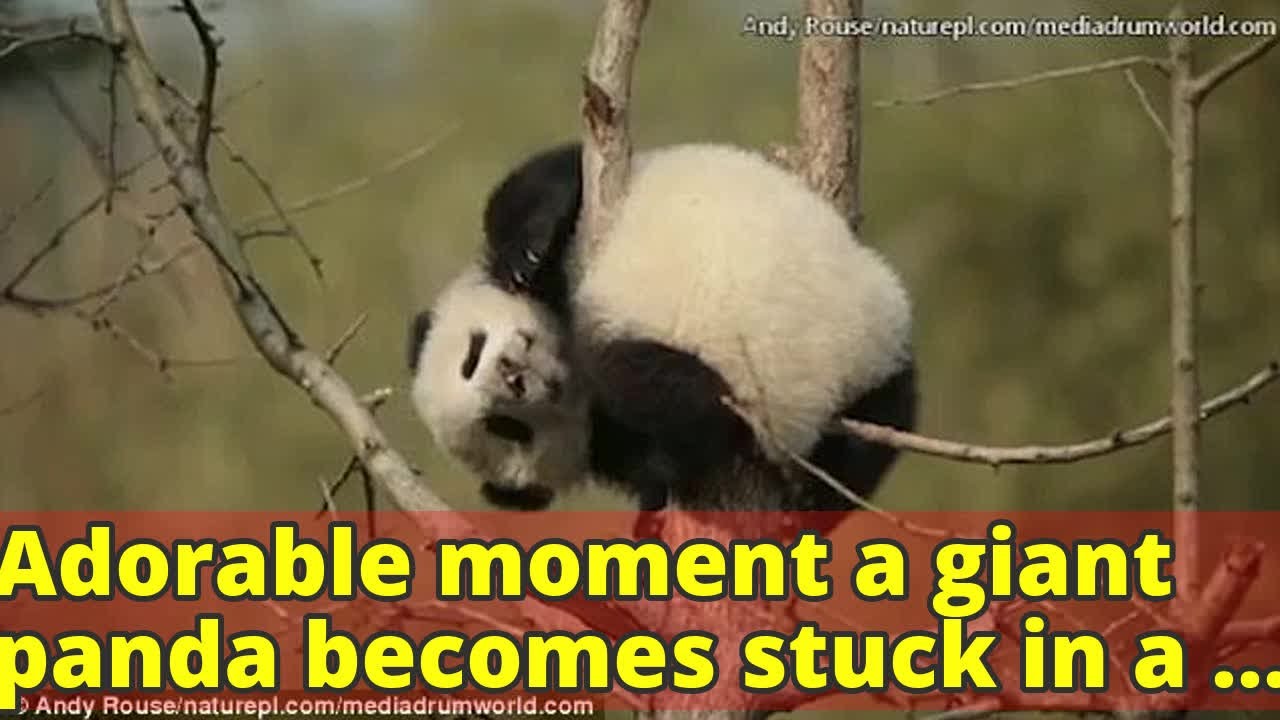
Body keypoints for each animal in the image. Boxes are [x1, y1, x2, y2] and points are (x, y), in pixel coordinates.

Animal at [409, 141, 916, 529]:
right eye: (506, 427)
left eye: (471, 353)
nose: (512, 374)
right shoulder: (607, 440)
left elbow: (547, 181)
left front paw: (525, 252)